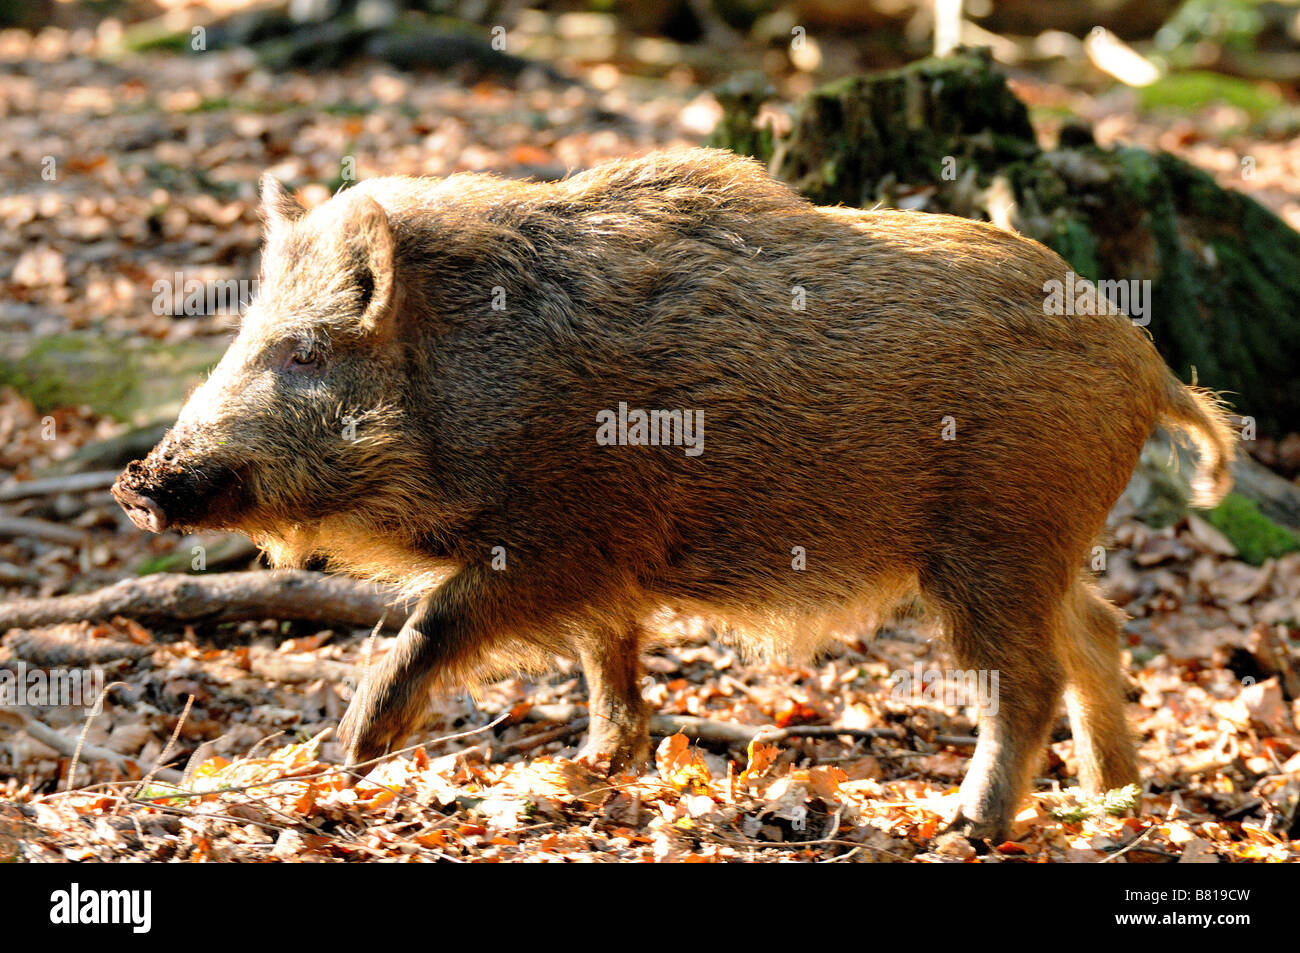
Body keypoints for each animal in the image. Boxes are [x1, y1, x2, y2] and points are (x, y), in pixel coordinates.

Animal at [112, 147, 1234, 842]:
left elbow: (433, 621)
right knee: (1099, 631)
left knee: (1026, 677)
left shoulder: (557, 539)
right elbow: (606, 657)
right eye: (243, 337)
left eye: (304, 352)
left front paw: (350, 752)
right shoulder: (605, 562)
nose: (140, 482)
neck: (474, 383)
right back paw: (1112, 794)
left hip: (992, 544)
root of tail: (1149, 364)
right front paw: (596, 767)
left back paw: (968, 827)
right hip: (1037, 547)